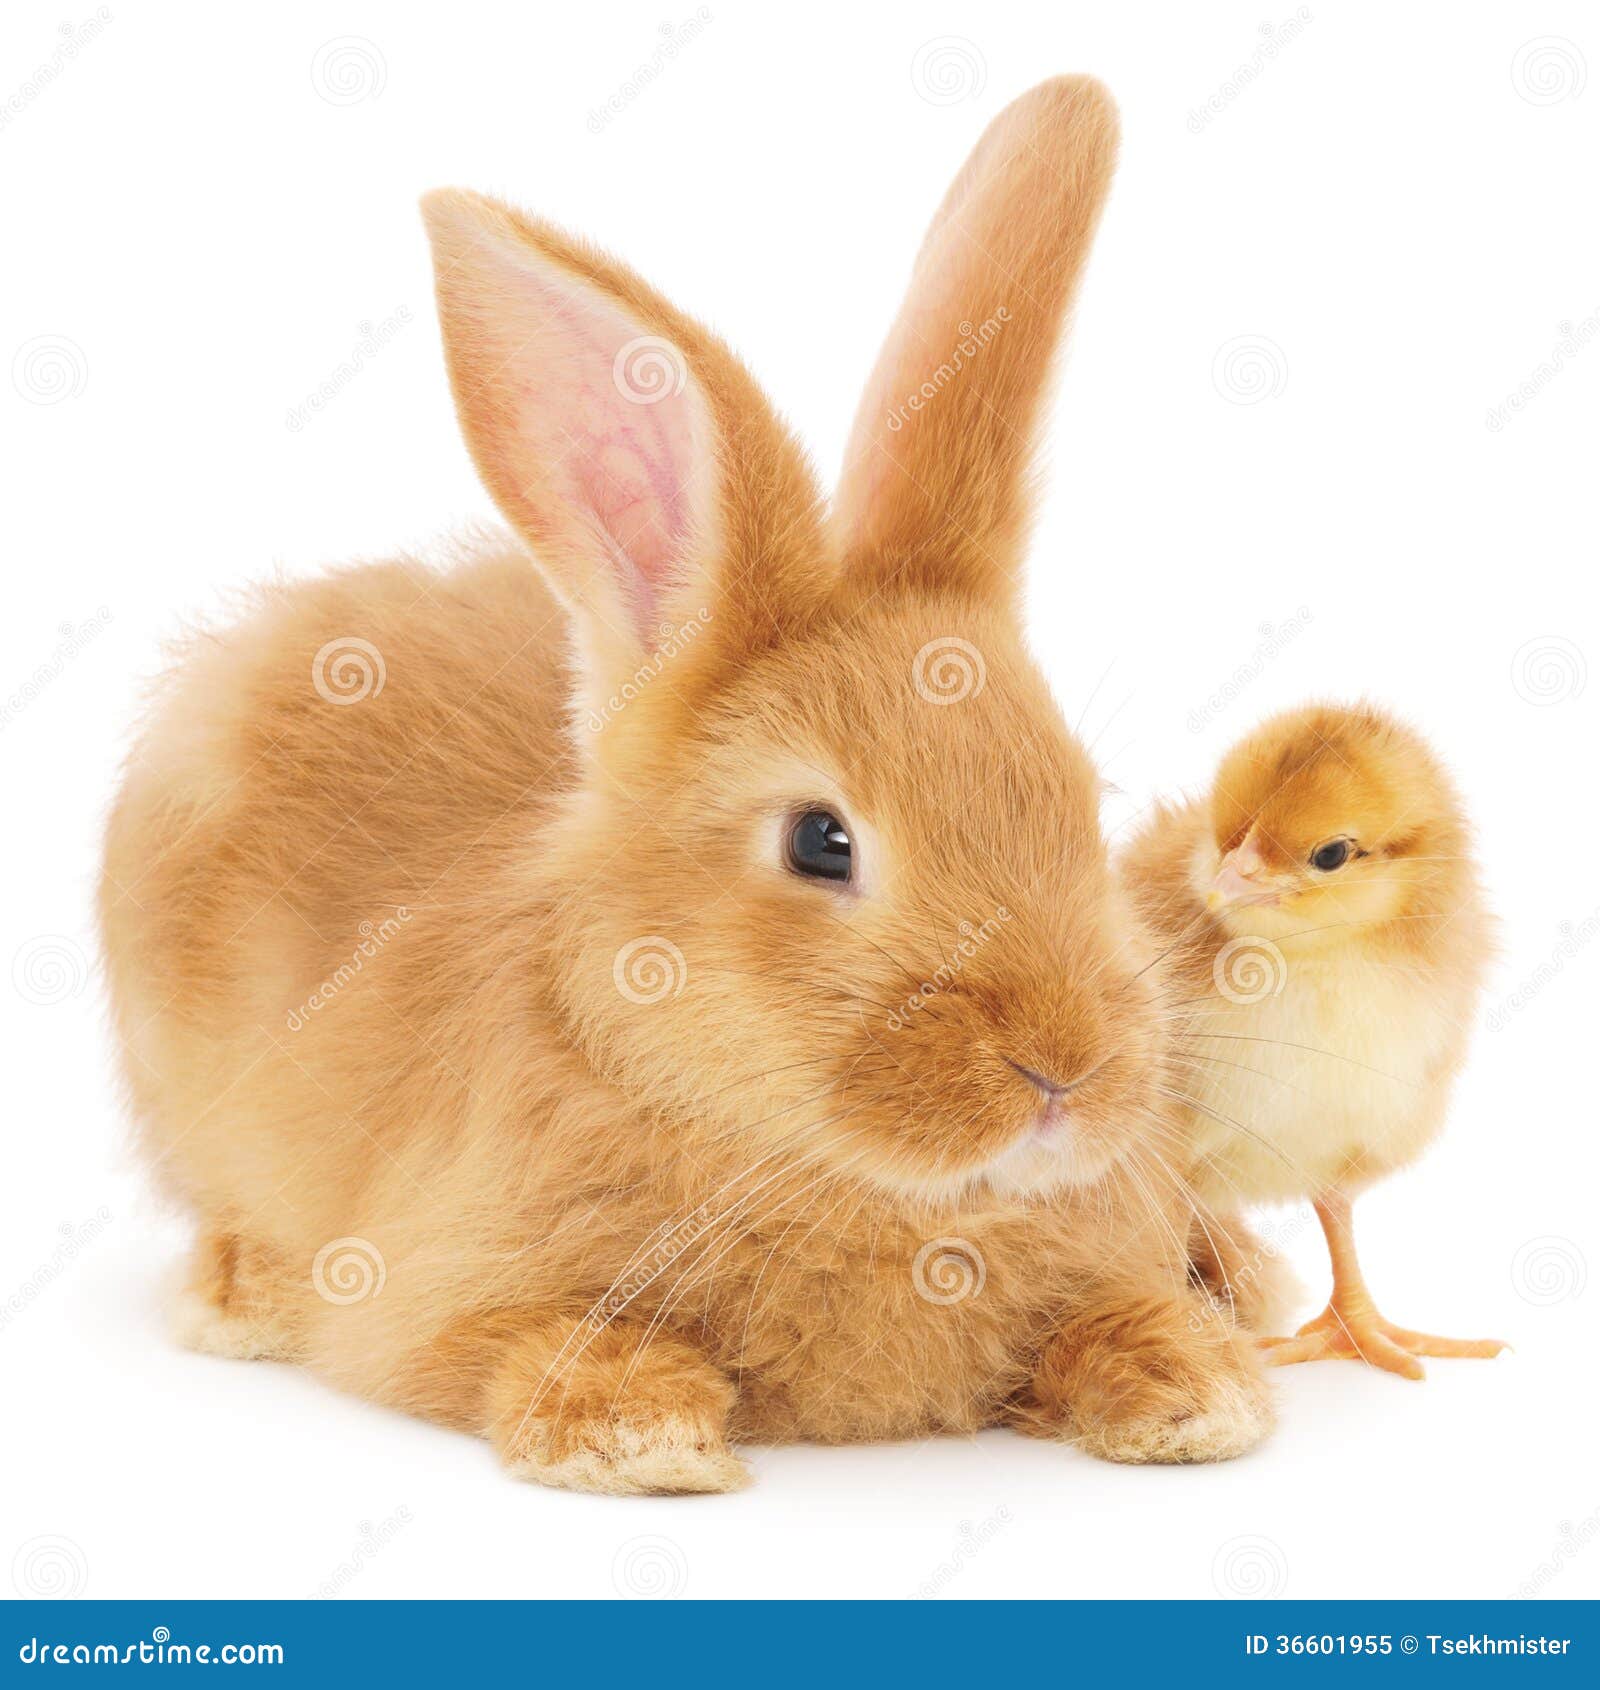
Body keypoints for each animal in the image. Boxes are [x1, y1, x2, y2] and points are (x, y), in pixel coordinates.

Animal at [98, 77, 1272, 1493]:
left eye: (1081, 800)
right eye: (820, 841)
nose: (1063, 1067)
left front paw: (1191, 1388)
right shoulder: (437, 1296)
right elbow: (524, 1341)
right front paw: (637, 1432)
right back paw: (241, 1289)